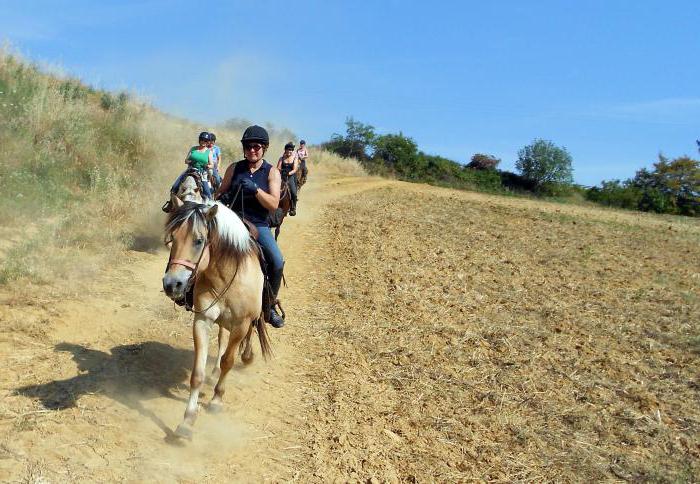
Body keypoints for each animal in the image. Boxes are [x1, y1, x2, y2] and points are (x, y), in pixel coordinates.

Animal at [163, 197, 270, 438]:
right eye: (172, 238)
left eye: (199, 241)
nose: (172, 284)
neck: (226, 273)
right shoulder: (203, 319)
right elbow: (197, 373)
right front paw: (187, 421)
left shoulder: (241, 323)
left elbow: (229, 361)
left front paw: (217, 400)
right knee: (221, 340)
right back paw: (215, 372)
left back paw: (246, 356)